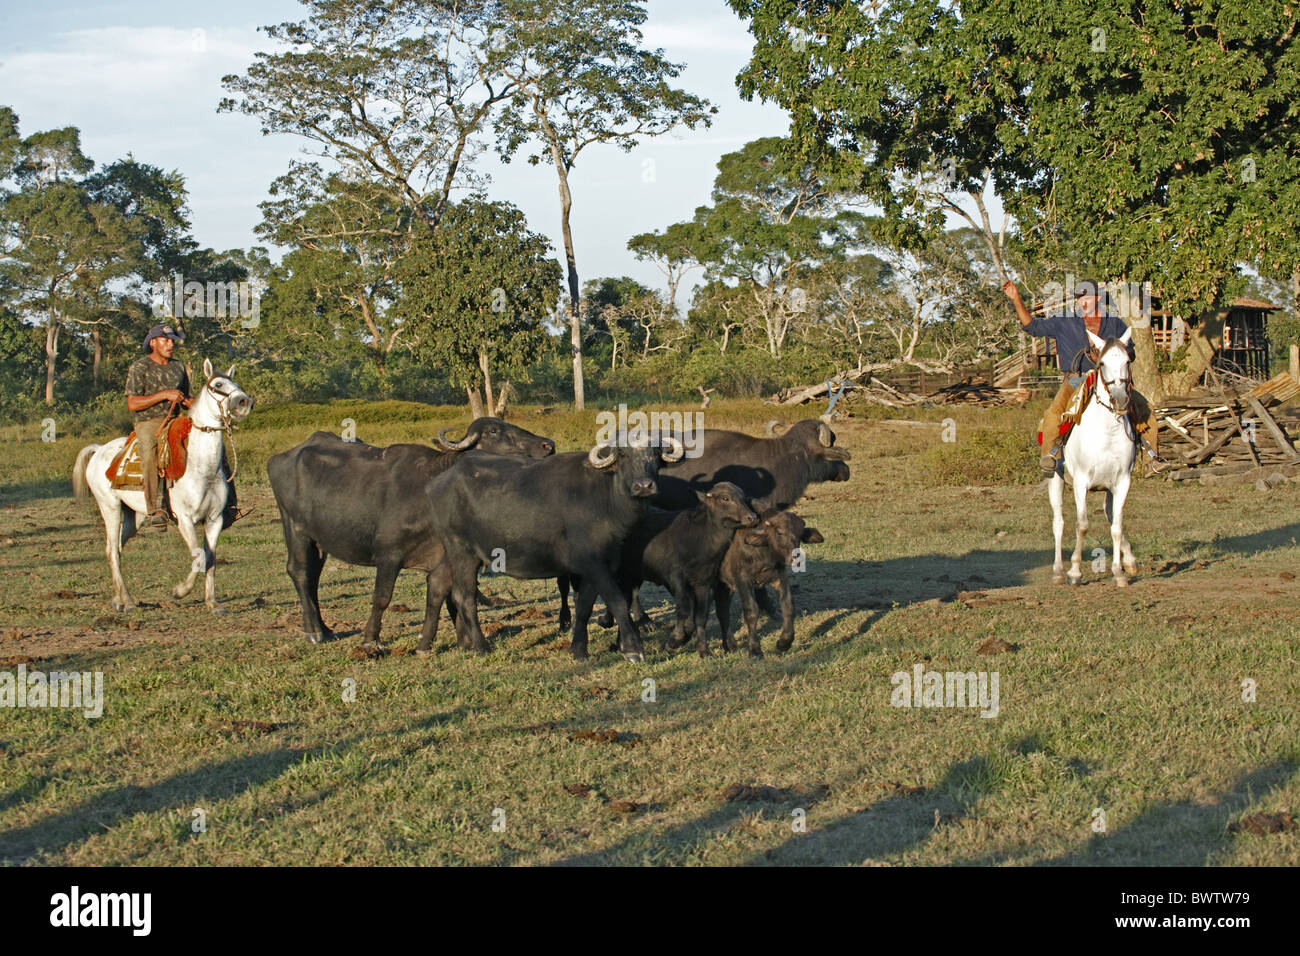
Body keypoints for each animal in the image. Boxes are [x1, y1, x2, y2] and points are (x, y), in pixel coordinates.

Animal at [72, 359, 254, 613]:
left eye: (235, 383)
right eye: (218, 384)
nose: (244, 402)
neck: (201, 467)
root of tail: (99, 450)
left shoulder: (215, 519)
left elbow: (210, 559)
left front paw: (212, 603)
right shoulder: (185, 519)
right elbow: (198, 556)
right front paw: (180, 591)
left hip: (134, 516)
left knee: (114, 548)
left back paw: (119, 599)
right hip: (110, 507)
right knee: (112, 550)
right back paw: (127, 601)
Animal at [1049, 327, 1139, 587]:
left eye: (1127, 361)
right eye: (1103, 363)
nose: (1119, 398)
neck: (1106, 433)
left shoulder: (1122, 482)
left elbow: (1117, 525)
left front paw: (1119, 572)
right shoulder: (1081, 482)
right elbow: (1082, 525)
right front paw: (1074, 572)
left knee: (1110, 517)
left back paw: (1129, 560)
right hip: (1055, 481)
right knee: (1058, 523)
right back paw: (1058, 571)